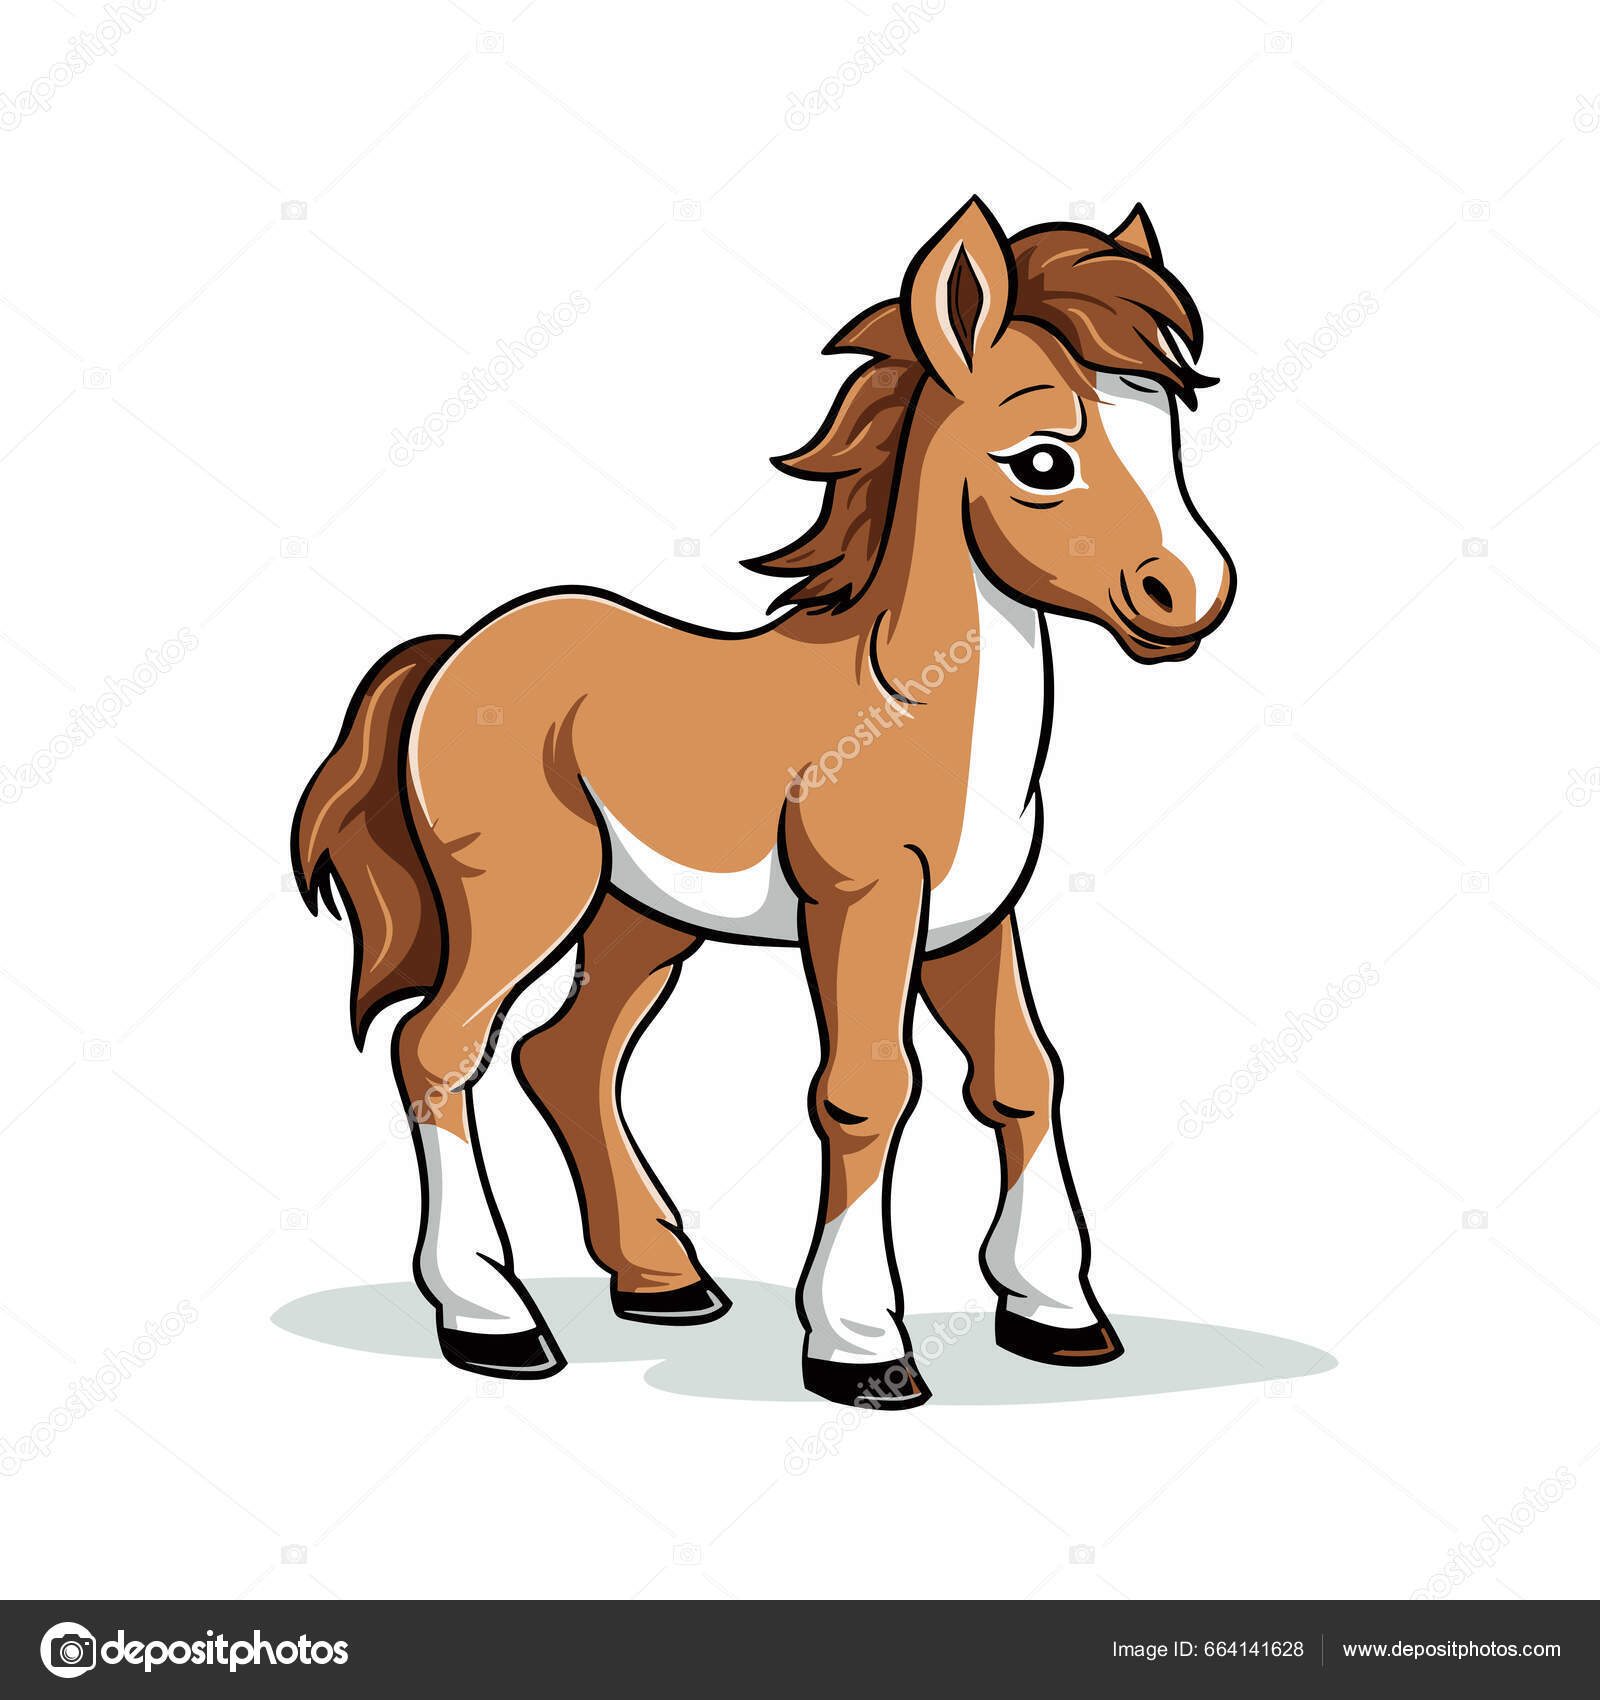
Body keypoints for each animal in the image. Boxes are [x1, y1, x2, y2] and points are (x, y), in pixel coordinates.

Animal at [293, 197, 1234, 1408]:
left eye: (1168, 439)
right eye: (1043, 459)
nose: (1189, 594)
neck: (908, 710)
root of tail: (455, 652)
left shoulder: (971, 923)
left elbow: (1022, 1075)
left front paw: (1055, 1310)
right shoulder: (863, 904)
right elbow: (867, 1086)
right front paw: (860, 1343)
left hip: (640, 914)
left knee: (568, 1053)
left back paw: (664, 1282)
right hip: (524, 897)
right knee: (439, 1048)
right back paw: (493, 1318)